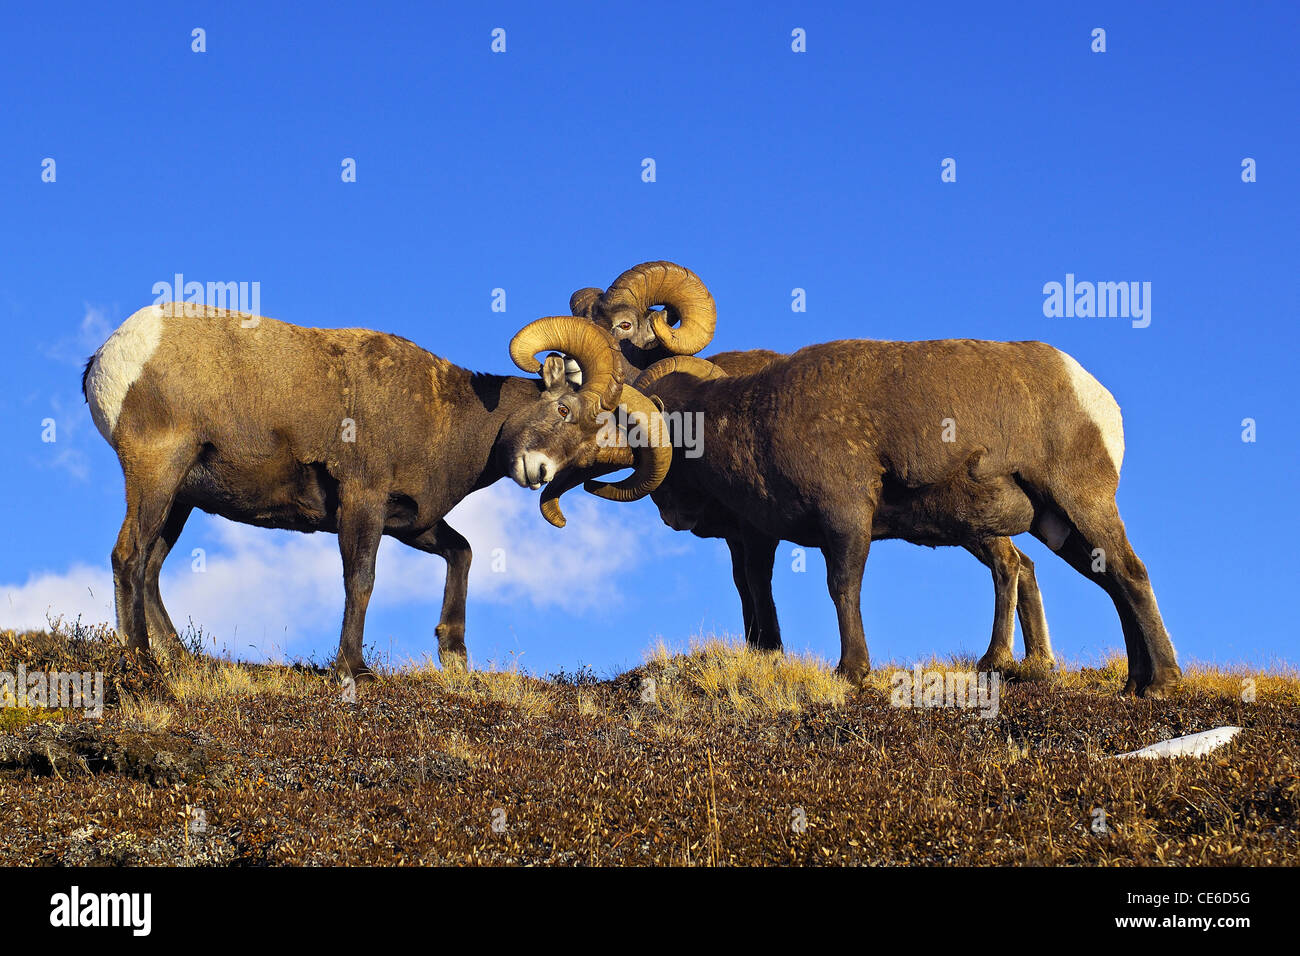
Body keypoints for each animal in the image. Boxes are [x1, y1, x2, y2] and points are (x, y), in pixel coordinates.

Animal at [82, 302, 668, 682]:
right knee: (129, 556)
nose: (539, 472)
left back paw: (181, 659)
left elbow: (462, 551)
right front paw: (354, 670)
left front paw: (453, 654)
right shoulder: (361, 501)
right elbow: (360, 579)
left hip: (180, 499)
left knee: (151, 567)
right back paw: (141, 661)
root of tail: (110, 356)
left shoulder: (409, 521)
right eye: (562, 409)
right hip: (157, 472)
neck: (447, 417)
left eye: (584, 451)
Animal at [521, 337, 1181, 697]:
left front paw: (852, 672)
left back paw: (1162, 682)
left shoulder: (844, 520)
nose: (534, 466)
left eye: (577, 412)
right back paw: (1131, 683)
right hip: (1053, 526)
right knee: (1099, 579)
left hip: (1079, 504)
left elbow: (842, 588)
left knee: (1130, 574)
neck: (746, 420)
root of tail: (1094, 397)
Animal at [551, 262, 1054, 673]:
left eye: (624, 324)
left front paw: (773, 651)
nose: (572, 372)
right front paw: (757, 647)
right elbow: (744, 588)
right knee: (1025, 566)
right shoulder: (739, 536)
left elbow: (761, 585)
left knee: (1010, 565)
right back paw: (1038, 662)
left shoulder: (760, 531)